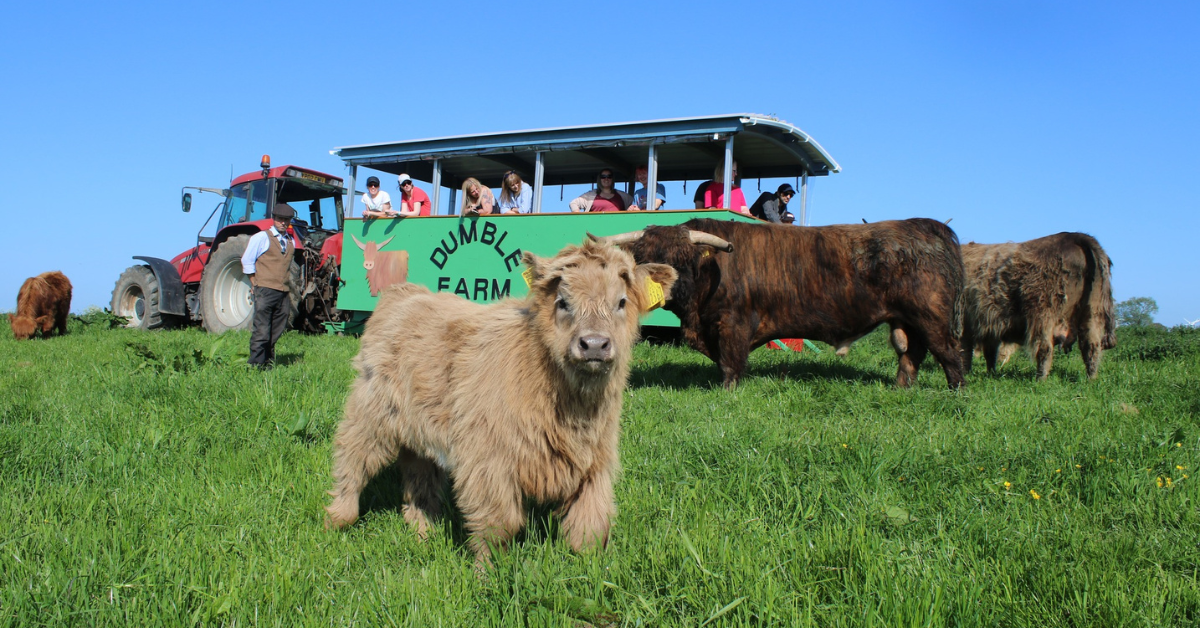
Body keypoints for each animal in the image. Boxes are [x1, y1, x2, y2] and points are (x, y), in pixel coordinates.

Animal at [325, 239, 677, 563]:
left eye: (621, 302)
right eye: (563, 302)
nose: (593, 344)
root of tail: (405, 291)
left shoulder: (595, 463)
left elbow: (590, 525)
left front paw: (591, 572)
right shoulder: (488, 460)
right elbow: (498, 525)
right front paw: (487, 575)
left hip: (420, 425)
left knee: (418, 475)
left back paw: (423, 529)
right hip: (372, 411)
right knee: (353, 459)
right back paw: (338, 518)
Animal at [599, 217, 966, 389]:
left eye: (682, 258)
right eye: (643, 258)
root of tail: (926, 226)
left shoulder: (734, 324)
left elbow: (731, 364)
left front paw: (727, 391)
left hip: (932, 316)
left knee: (949, 353)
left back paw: (956, 393)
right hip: (908, 320)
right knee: (911, 355)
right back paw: (901, 389)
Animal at [960, 232, 1115, 380]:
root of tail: (1074, 236)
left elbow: (966, 353)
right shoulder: (988, 328)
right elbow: (988, 354)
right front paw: (989, 373)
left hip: (1043, 314)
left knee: (1045, 348)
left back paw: (1040, 379)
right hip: (1092, 313)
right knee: (1091, 347)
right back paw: (1091, 379)